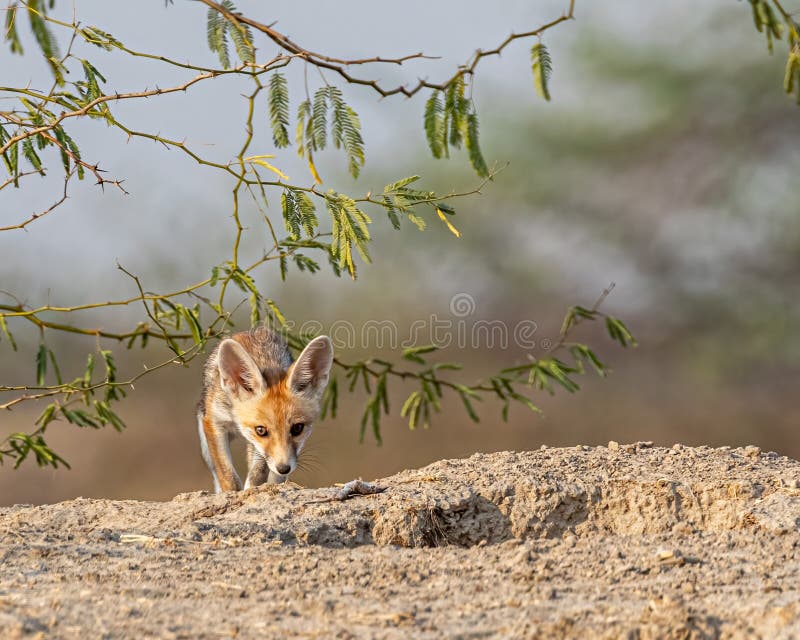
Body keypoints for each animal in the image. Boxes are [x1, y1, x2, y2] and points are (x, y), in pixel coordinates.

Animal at [197, 326, 333, 493]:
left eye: (297, 428)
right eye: (261, 430)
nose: (284, 468)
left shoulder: (261, 451)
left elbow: (259, 471)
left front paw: (252, 488)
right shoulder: (214, 421)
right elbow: (227, 475)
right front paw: (232, 492)